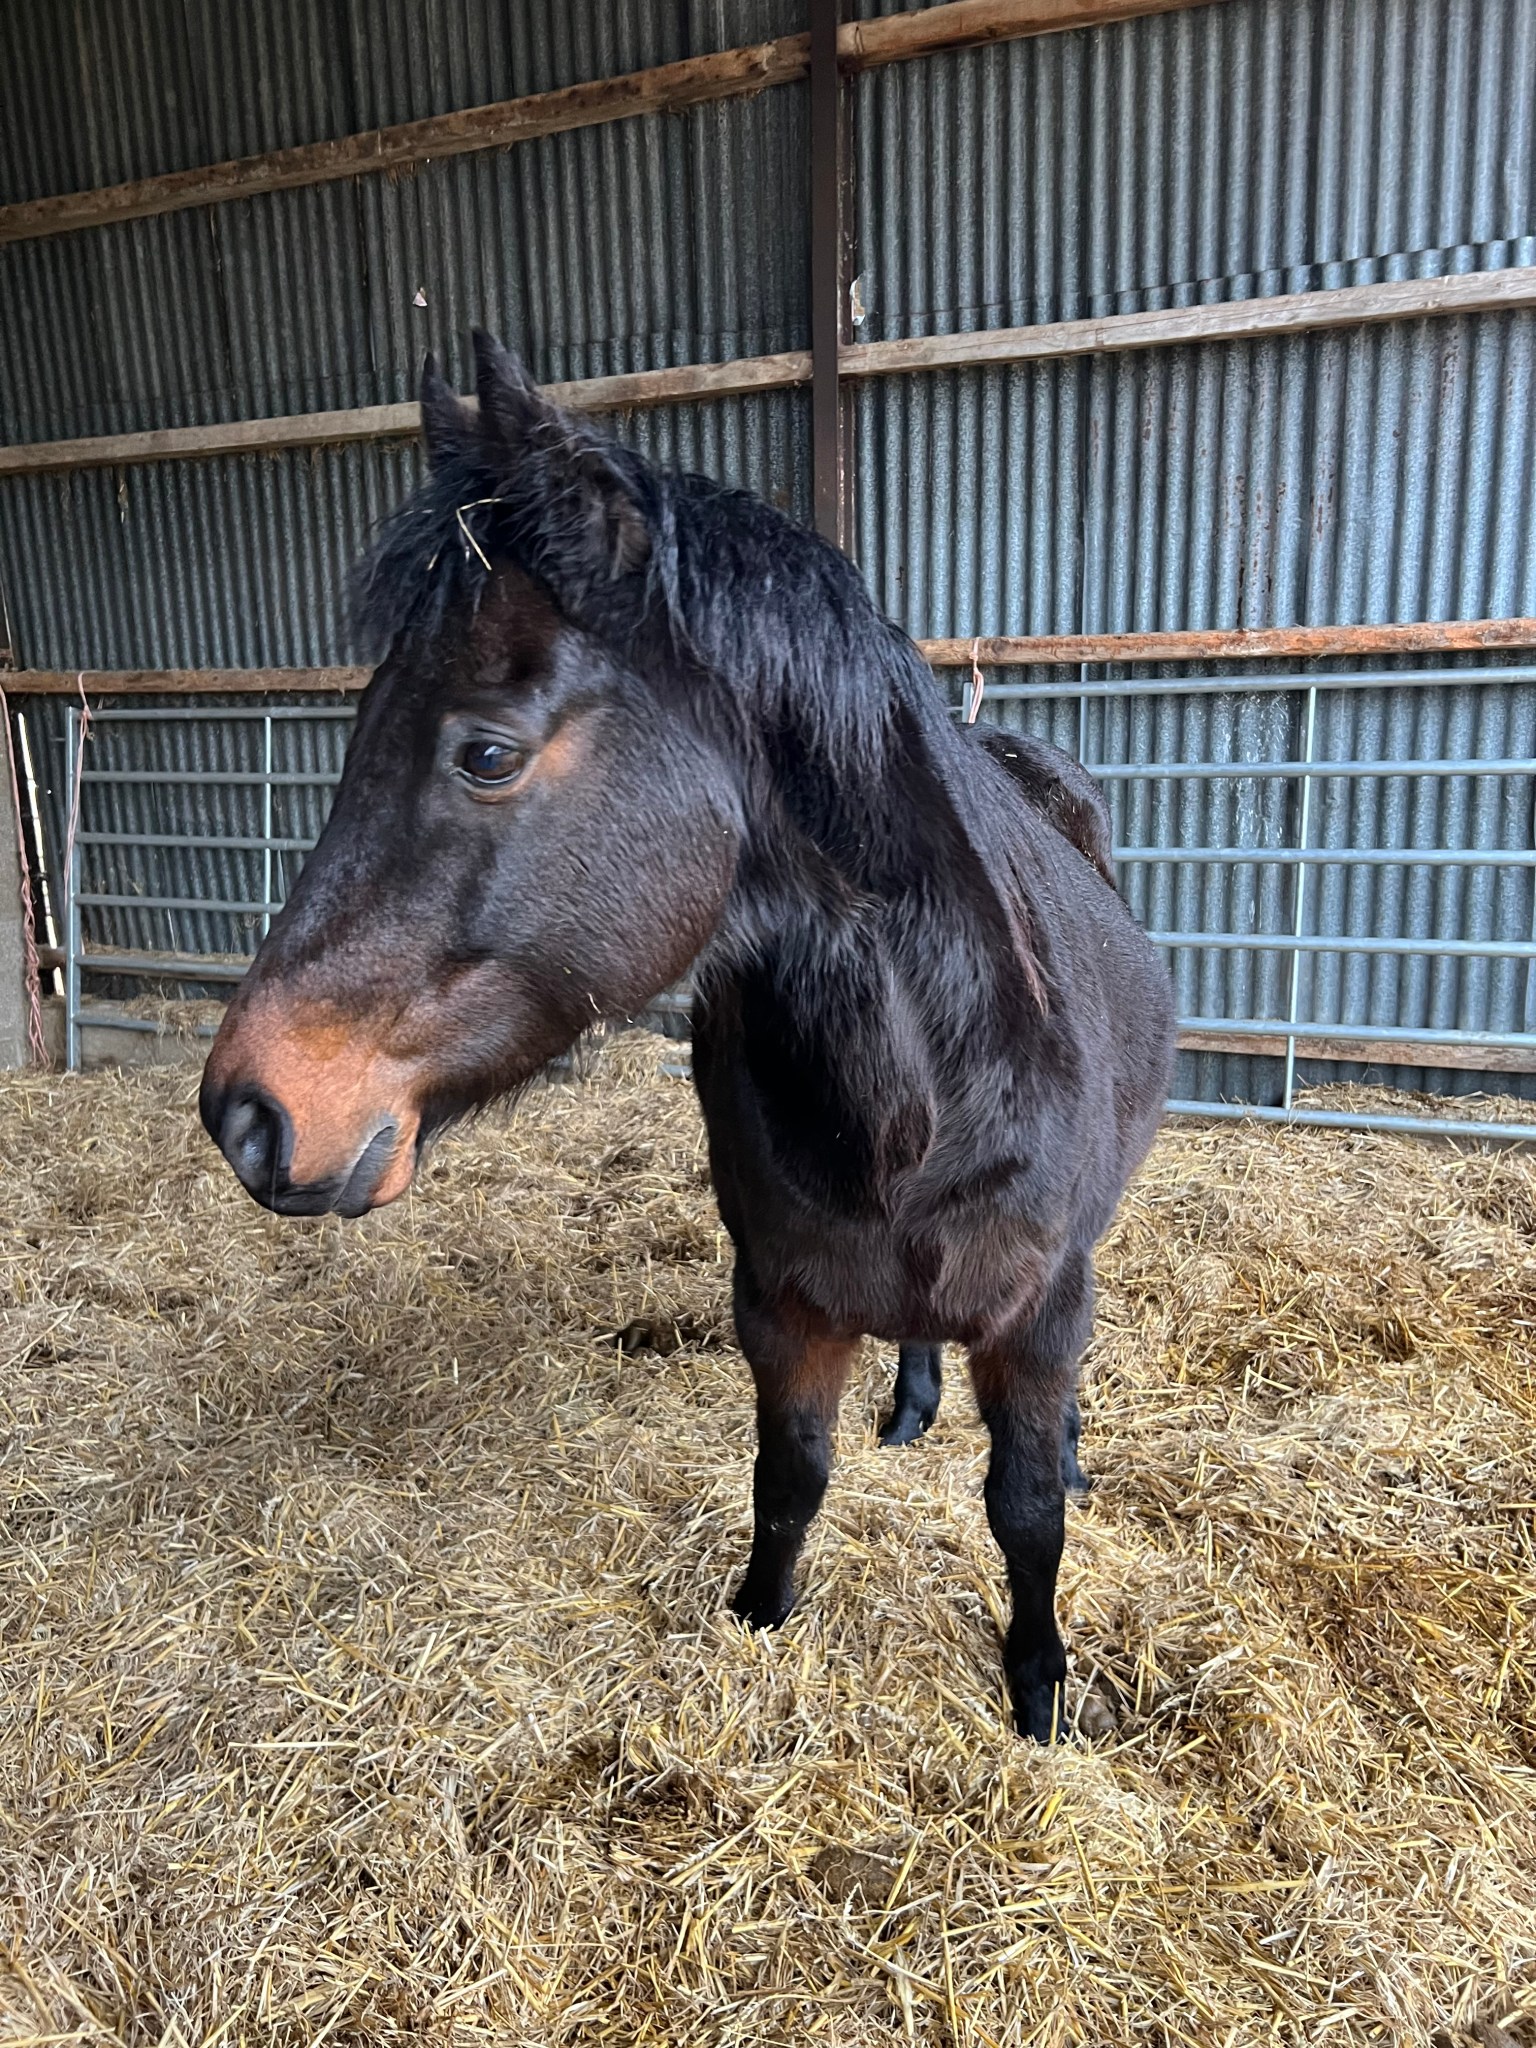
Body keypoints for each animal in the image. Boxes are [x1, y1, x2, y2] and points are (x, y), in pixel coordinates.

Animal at [200, 332, 1176, 1739]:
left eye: (485, 752)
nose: (246, 1109)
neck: (923, 1090)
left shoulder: (1038, 1314)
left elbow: (1026, 1510)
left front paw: (1040, 1691)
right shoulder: (778, 1300)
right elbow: (791, 1478)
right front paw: (758, 1621)